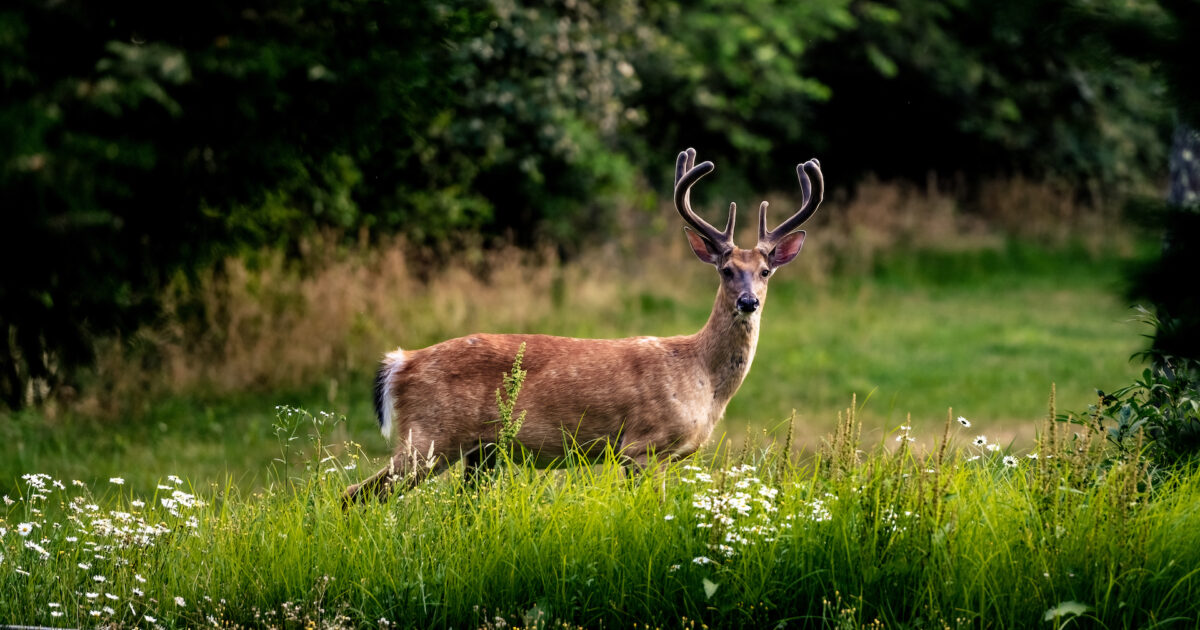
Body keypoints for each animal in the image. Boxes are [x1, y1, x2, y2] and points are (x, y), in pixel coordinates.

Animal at [344, 148, 824, 502]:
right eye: (726, 270)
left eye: (765, 271)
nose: (748, 301)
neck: (701, 378)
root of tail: (400, 362)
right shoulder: (641, 447)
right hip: (427, 437)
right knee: (354, 494)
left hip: (478, 452)